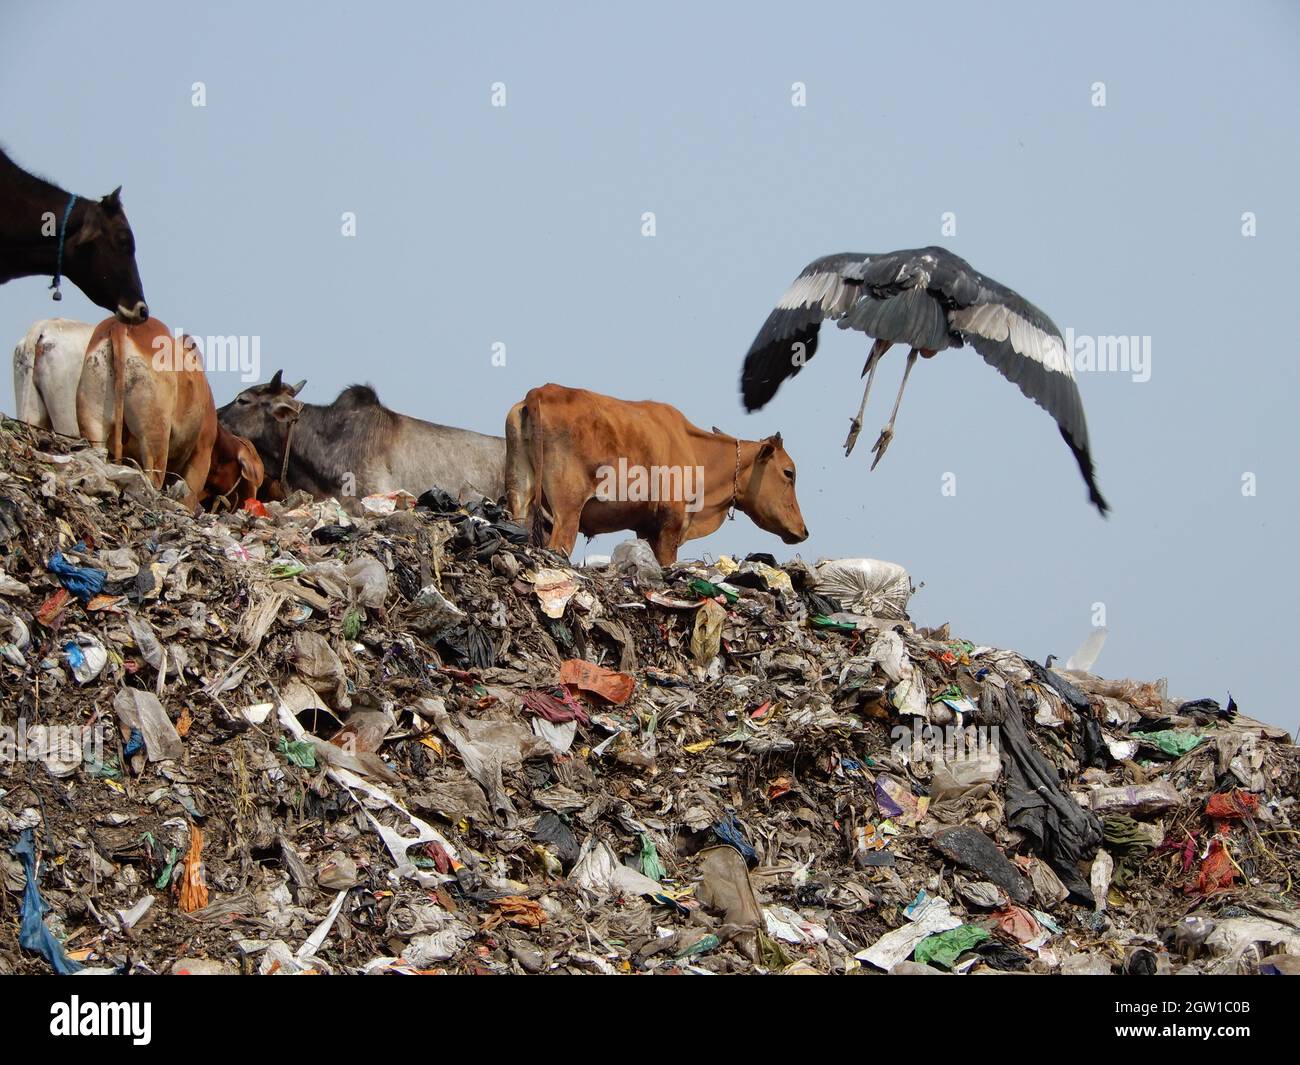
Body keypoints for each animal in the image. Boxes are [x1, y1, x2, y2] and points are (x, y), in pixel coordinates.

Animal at [505, 383, 809, 565]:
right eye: (789, 472)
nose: (803, 531)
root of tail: (540, 391)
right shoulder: (670, 523)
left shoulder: (646, 527)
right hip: (567, 511)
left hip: (519, 495)